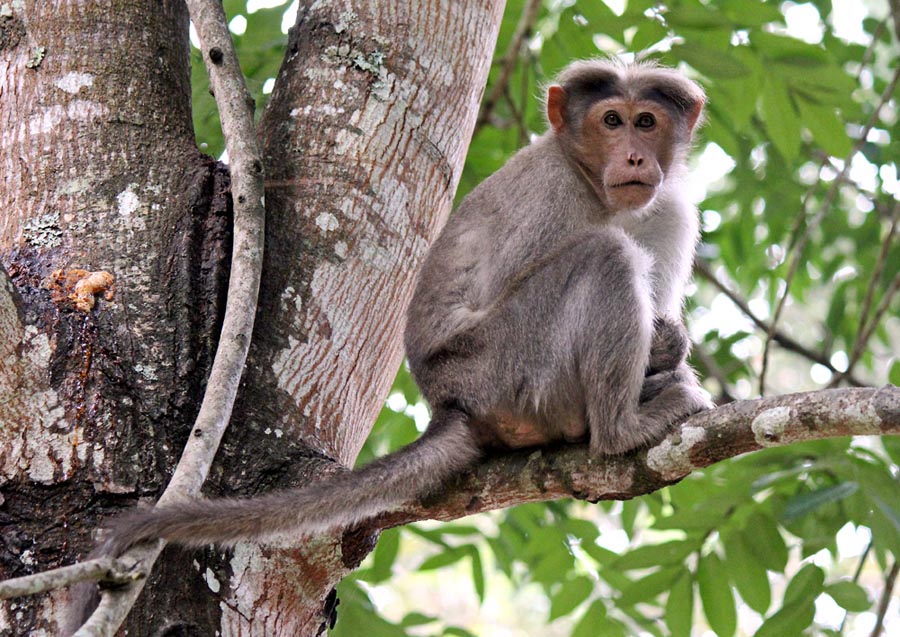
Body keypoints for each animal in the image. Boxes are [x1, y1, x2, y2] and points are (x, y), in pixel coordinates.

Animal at [76, 57, 712, 580]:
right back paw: (622, 428)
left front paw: (669, 346)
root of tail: (449, 402)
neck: (594, 183)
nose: (634, 156)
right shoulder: (551, 196)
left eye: (646, 122)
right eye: (611, 121)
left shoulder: (672, 210)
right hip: (506, 370)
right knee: (606, 255)